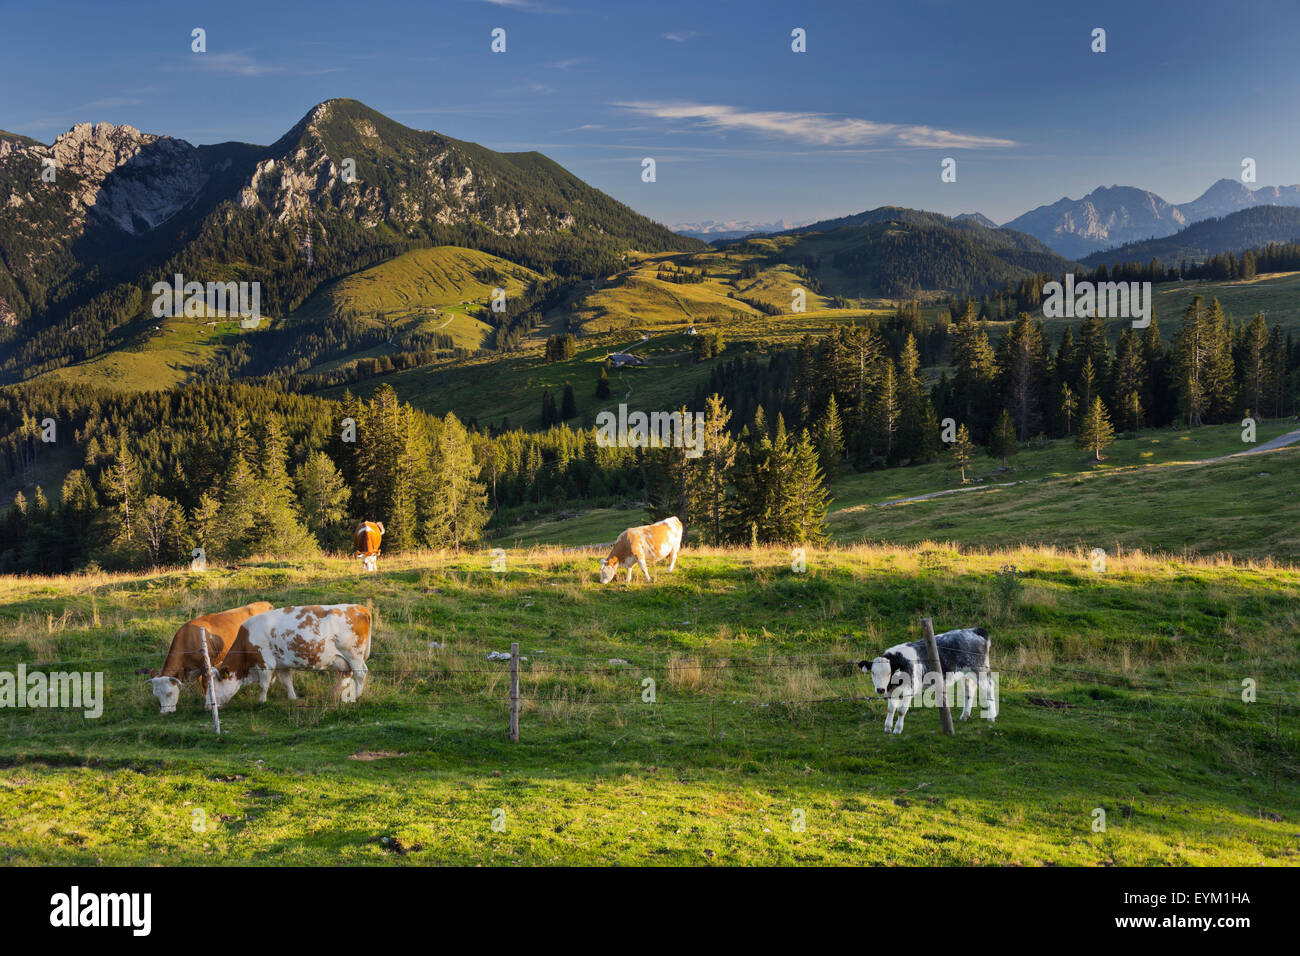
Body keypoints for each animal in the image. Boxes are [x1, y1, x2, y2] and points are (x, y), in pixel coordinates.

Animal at [143, 602, 274, 714]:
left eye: (169, 693)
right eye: (156, 694)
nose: (165, 712)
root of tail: (265, 603)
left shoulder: (206, 663)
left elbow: (206, 683)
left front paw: (210, 703)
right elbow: (201, 683)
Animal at [207, 604, 373, 708]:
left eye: (213, 687)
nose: (208, 706)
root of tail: (360, 608)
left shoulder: (265, 663)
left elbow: (263, 684)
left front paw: (261, 701)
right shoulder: (282, 664)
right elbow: (287, 681)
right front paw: (292, 698)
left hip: (354, 655)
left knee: (360, 673)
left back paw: (357, 696)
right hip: (344, 660)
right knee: (346, 675)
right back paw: (337, 695)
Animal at [857, 627, 996, 734]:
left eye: (888, 672)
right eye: (873, 673)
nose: (880, 689)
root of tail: (973, 630)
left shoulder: (909, 689)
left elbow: (901, 711)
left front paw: (897, 729)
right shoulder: (892, 691)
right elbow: (891, 709)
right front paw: (887, 728)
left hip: (980, 670)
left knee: (989, 689)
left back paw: (991, 716)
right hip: (966, 674)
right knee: (970, 691)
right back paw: (964, 716)